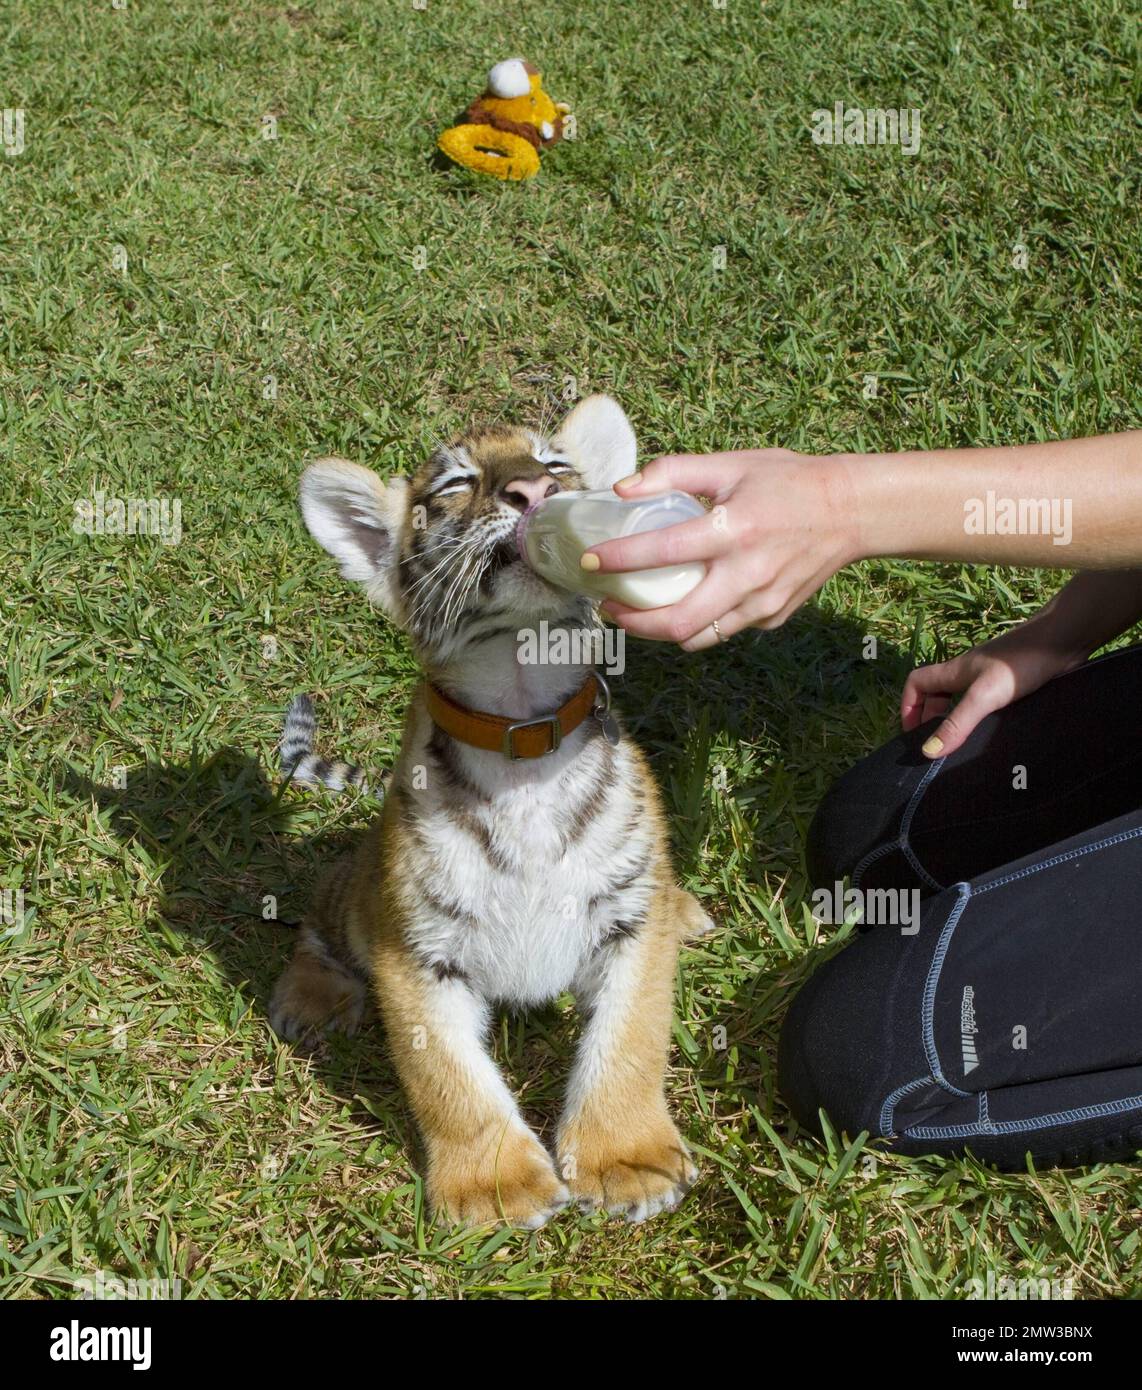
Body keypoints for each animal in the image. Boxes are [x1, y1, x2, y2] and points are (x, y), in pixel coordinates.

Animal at [270, 394, 712, 1228]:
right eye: (456, 484)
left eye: (557, 464)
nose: (534, 491)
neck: (521, 717)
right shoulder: (415, 949)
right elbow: (449, 1079)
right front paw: (497, 1190)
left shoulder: (630, 918)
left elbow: (630, 1041)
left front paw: (627, 1164)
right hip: (352, 893)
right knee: (316, 918)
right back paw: (308, 1001)